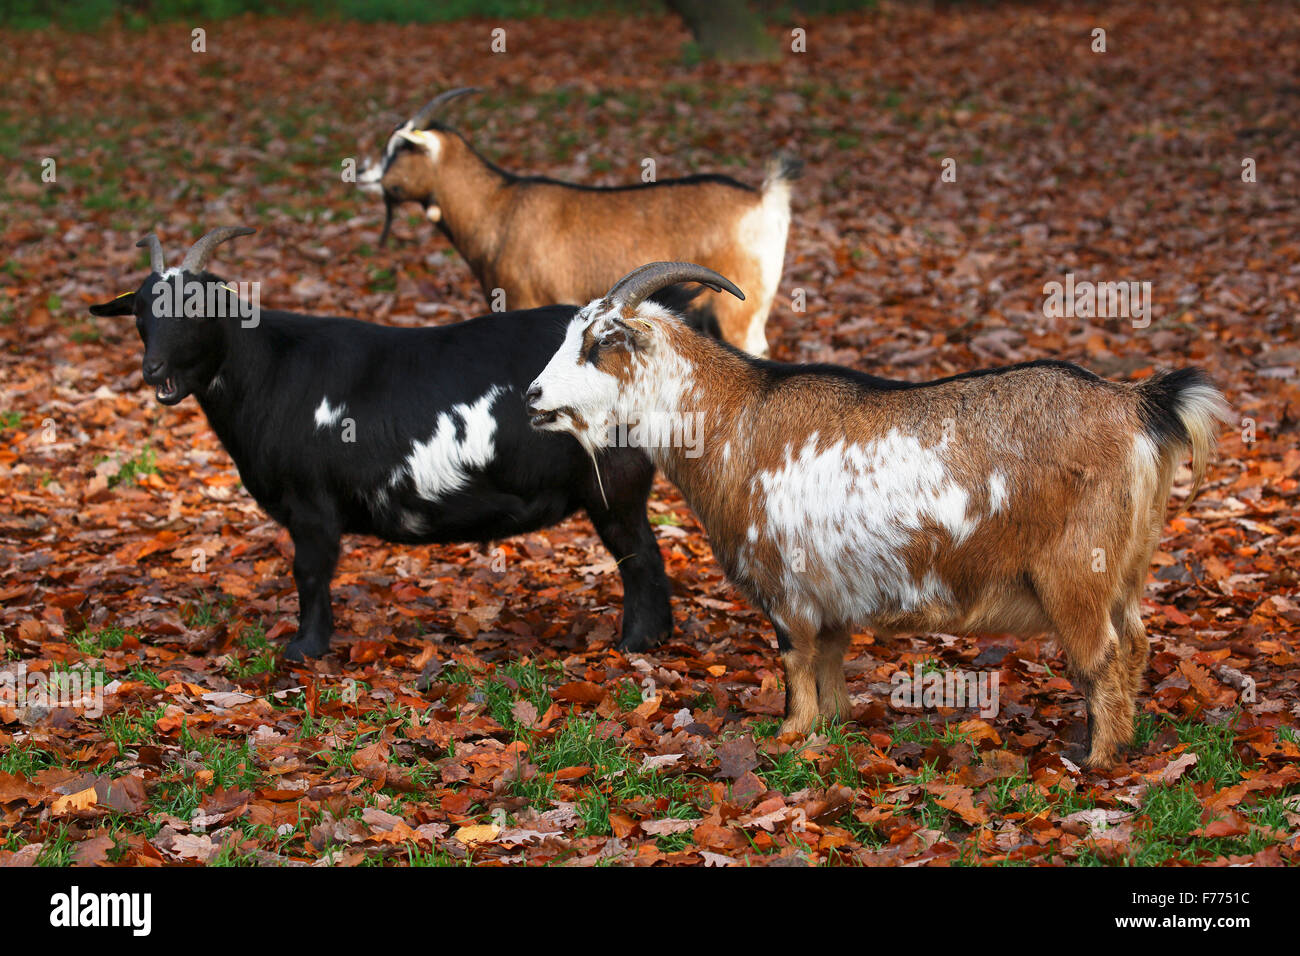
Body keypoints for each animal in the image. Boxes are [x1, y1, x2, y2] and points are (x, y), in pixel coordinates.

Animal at [89, 228, 679, 662]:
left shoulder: (311, 503)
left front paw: (305, 650)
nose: (153, 370)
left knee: (639, 557)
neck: (271, 370)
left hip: (615, 483)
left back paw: (635, 643)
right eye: (140, 311)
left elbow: (309, 572)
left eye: (198, 307)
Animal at [356, 88, 799, 356]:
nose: (361, 172)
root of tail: (764, 197)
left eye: (399, 149)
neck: (500, 208)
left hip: (741, 312)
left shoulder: (525, 300)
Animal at [526, 262, 1233, 768]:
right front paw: (835, 727)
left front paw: (791, 735)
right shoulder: (833, 594)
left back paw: (1097, 760)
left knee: (1104, 656)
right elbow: (831, 661)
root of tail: (1137, 405)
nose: (532, 396)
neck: (734, 418)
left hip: (1076, 571)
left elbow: (795, 661)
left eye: (599, 344)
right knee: (1137, 644)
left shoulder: (787, 585)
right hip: (1127, 571)